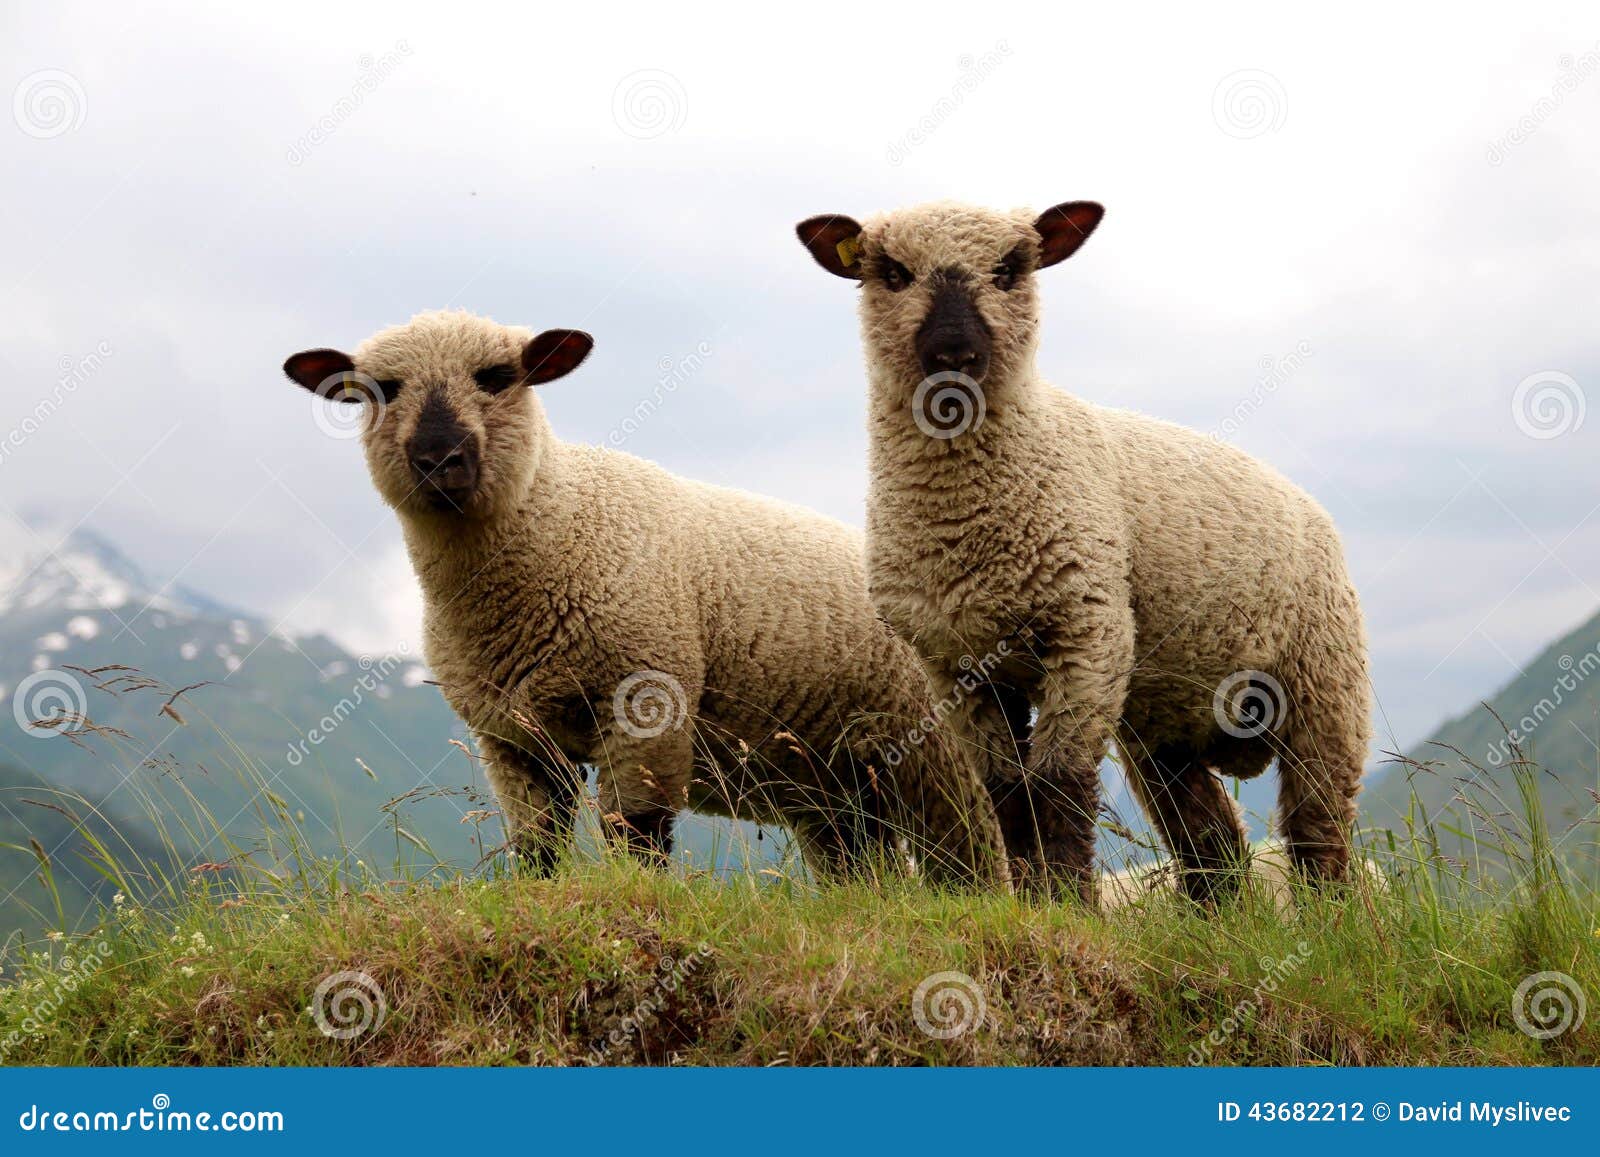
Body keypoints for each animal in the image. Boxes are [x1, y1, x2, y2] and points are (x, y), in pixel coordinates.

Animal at [281, 309, 1008, 888]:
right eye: (379, 391)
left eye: (495, 376)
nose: (438, 458)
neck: (560, 521)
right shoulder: (510, 737)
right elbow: (538, 845)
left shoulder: (647, 700)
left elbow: (635, 830)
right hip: (840, 784)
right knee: (863, 867)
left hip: (942, 758)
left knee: (972, 860)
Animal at [795, 200, 1370, 904]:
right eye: (894, 273)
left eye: (1011, 269)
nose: (954, 354)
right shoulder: (955, 664)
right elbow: (1007, 793)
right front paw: (1033, 899)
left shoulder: (1088, 630)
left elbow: (1058, 781)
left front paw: (1072, 901)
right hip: (1163, 719)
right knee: (1210, 838)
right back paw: (1222, 917)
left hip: (1325, 681)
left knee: (1318, 824)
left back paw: (1328, 916)